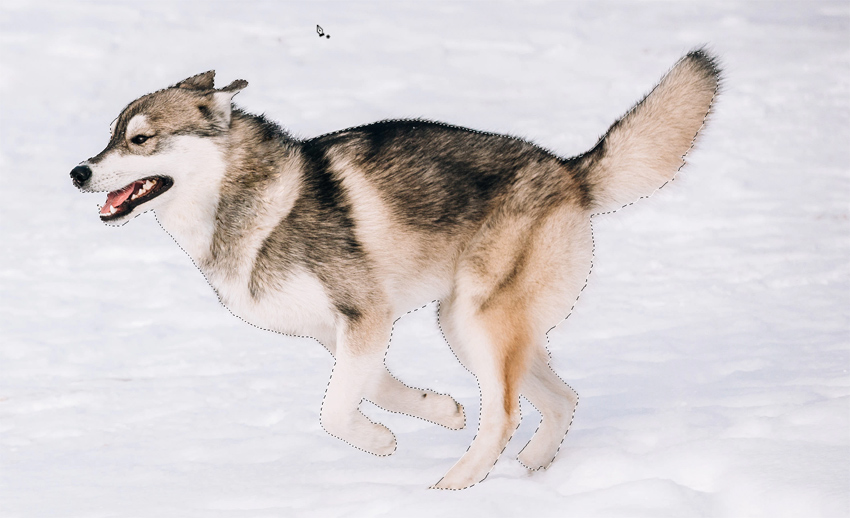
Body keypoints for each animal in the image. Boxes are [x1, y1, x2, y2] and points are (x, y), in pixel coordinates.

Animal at [70, 49, 720, 489]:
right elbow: (372, 387)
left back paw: (454, 488)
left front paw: (380, 441)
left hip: (477, 319)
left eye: (140, 139)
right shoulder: (338, 330)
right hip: (464, 323)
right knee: (563, 398)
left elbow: (333, 411)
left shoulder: (366, 316)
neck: (245, 203)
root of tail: (568, 171)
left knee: (506, 412)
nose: (78, 172)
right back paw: (531, 471)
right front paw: (437, 411)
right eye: (110, 138)